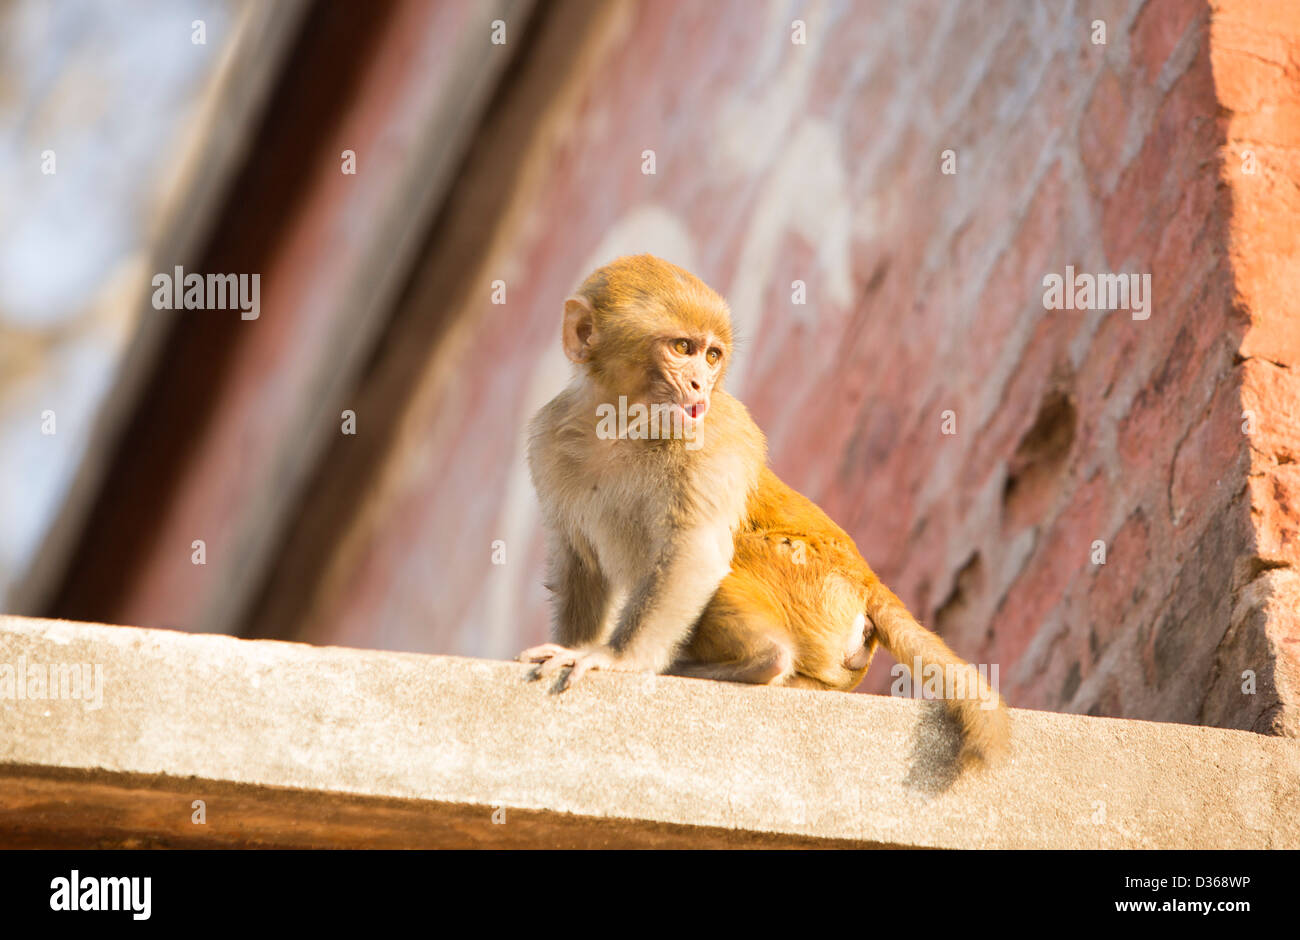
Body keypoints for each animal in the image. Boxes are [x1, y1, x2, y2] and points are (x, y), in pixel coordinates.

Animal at [519, 254, 1009, 767]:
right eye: (682, 347)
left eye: (711, 356)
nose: (699, 384)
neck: (621, 428)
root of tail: (868, 582)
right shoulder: (549, 437)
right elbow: (578, 561)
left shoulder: (718, 431)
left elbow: (694, 550)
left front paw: (616, 659)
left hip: (810, 583)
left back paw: (752, 660)